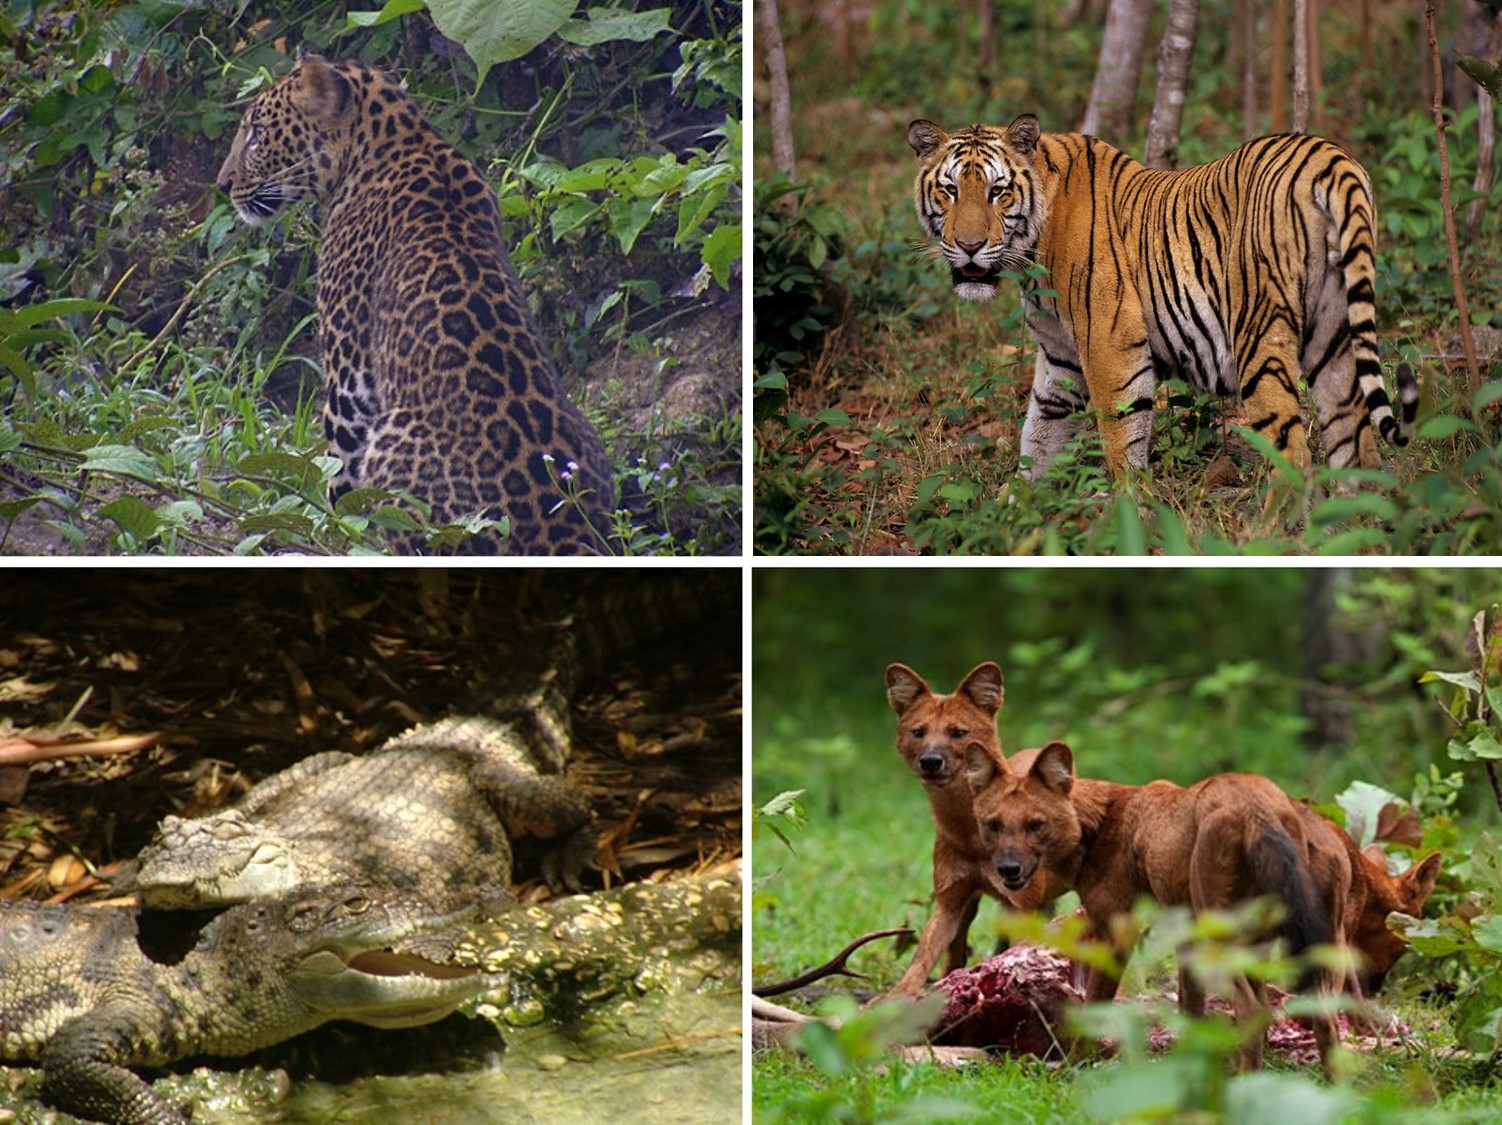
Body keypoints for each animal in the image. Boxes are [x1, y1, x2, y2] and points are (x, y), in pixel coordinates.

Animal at [907, 114, 1418, 481]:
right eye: (950, 190)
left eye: (998, 191)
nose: (970, 246)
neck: (1030, 252)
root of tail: (1329, 156)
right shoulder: (1059, 356)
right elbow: (1040, 437)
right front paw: (1020, 517)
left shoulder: (1110, 344)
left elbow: (1120, 437)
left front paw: (1130, 516)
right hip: (1334, 336)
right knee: (1357, 450)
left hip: (1259, 334)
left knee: (1293, 455)